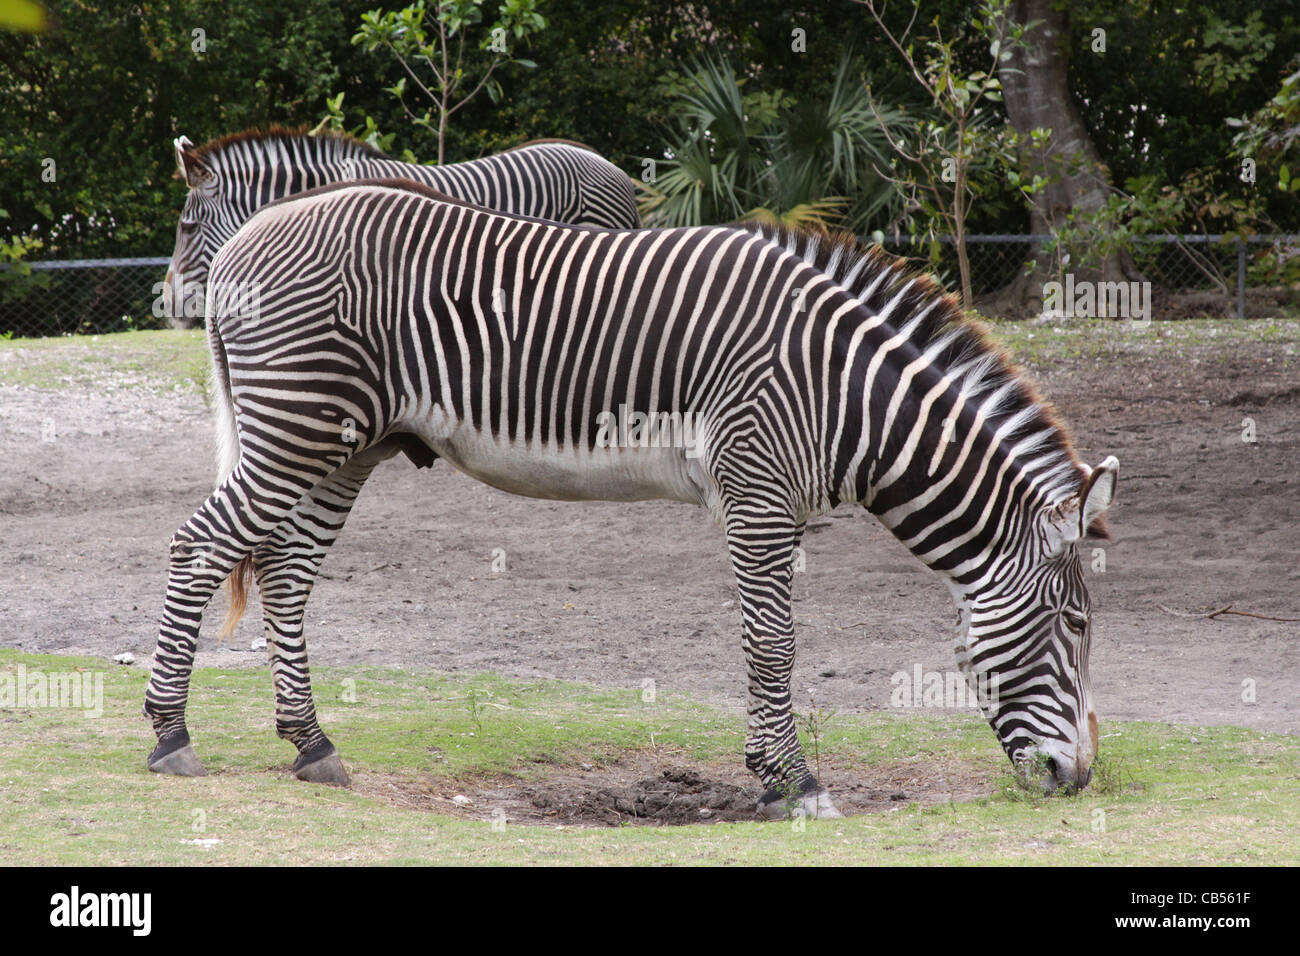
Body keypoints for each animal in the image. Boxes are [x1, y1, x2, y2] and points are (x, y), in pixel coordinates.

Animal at [142, 177, 1118, 819]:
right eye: (1075, 624)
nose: (1078, 781)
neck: (846, 393)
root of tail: (248, 234)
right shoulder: (755, 489)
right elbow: (773, 643)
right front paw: (793, 784)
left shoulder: (782, 507)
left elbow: (769, 640)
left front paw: (773, 774)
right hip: (298, 422)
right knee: (199, 545)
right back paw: (170, 737)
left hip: (347, 444)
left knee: (285, 573)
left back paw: (312, 745)